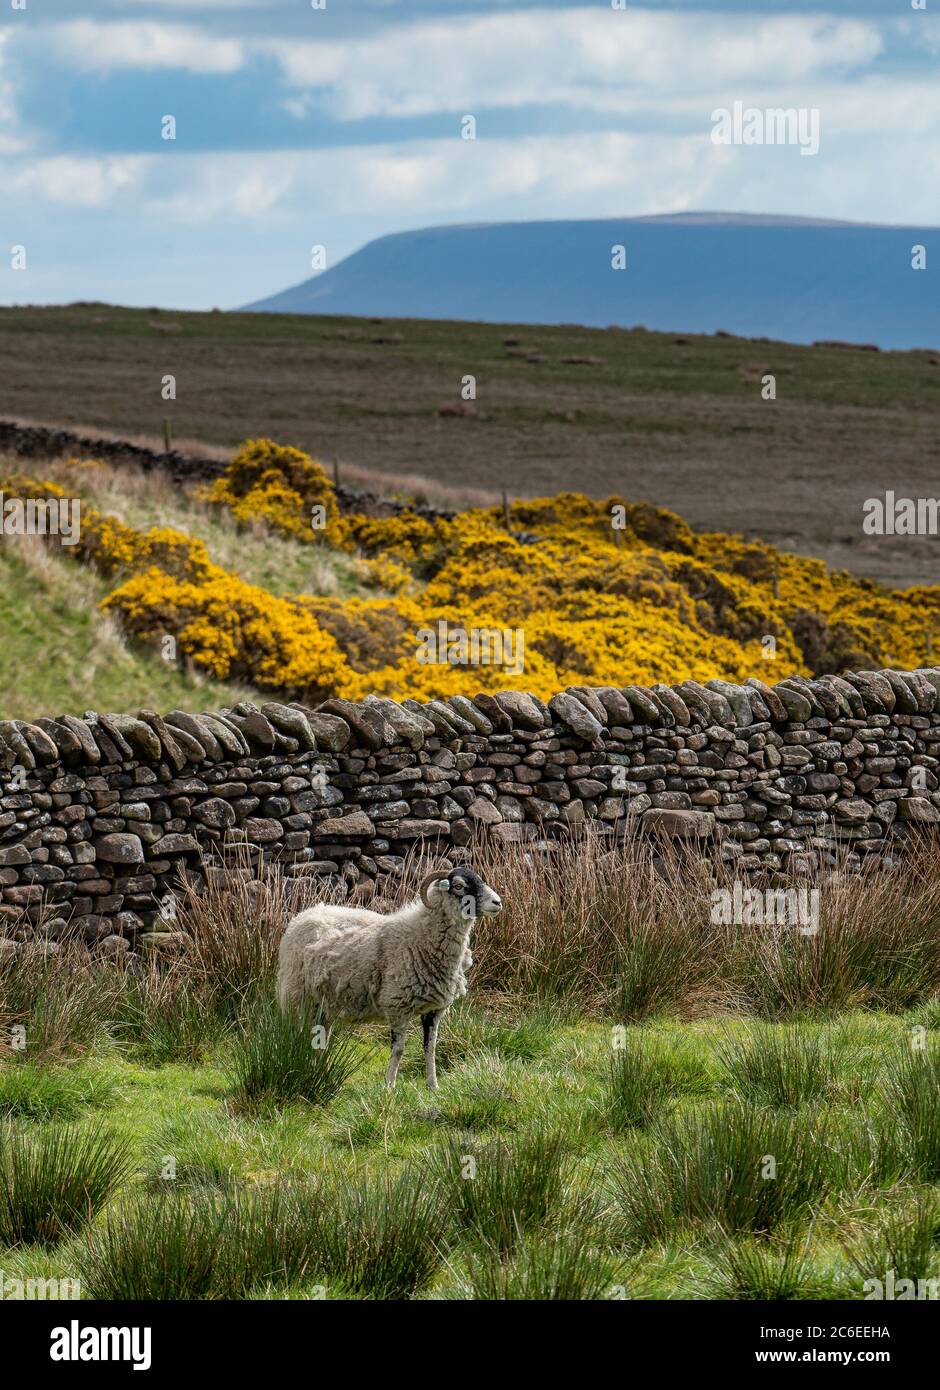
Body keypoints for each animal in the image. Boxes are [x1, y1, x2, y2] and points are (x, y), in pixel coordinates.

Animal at [275, 867, 503, 1084]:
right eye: (458, 886)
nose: (498, 902)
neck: (421, 935)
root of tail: (302, 915)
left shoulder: (435, 1009)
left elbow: (430, 1049)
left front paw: (433, 1085)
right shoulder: (397, 1005)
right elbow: (399, 1050)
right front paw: (389, 1086)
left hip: (324, 1003)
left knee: (321, 1037)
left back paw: (318, 1071)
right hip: (296, 995)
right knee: (294, 1033)